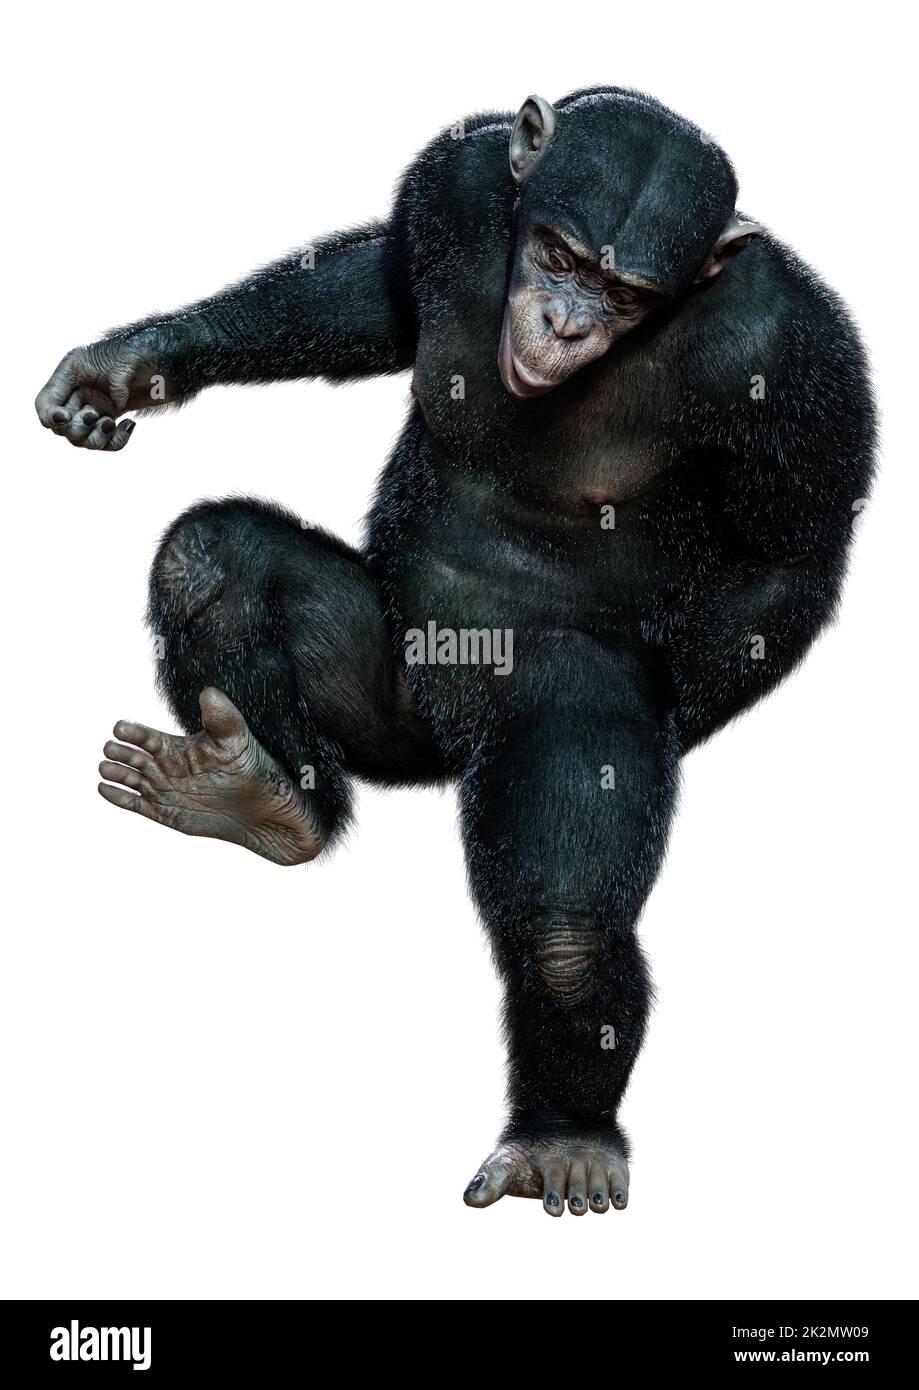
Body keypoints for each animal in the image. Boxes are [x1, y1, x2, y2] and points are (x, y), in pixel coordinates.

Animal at [35, 87, 875, 1216]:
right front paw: (130, 361)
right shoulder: (458, 189)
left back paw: (563, 1137)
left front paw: (690, 692)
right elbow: (378, 293)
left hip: (527, 717)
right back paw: (261, 793)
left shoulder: (788, 355)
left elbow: (791, 549)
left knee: (565, 924)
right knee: (205, 557)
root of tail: (444, 754)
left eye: (625, 291)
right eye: (559, 256)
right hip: (385, 698)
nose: (566, 320)